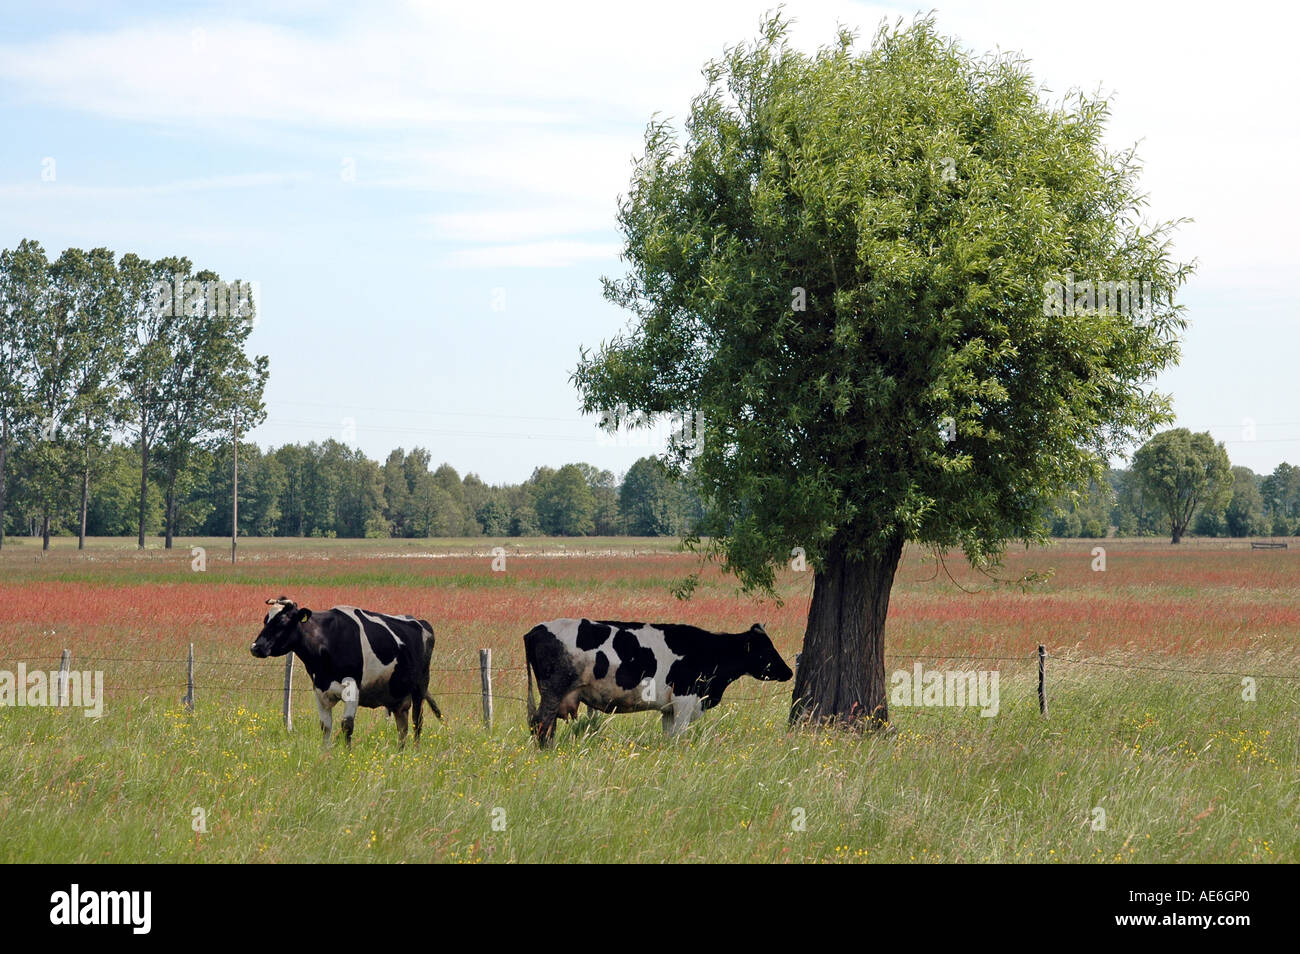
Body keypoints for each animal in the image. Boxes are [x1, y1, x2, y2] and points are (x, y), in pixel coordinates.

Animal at [250, 597, 442, 747]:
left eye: (282, 622)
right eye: (266, 620)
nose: (256, 647)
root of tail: (420, 622)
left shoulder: (352, 687)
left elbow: (347, 726)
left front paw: (346, 754)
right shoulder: (319, 689)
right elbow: (325, 726)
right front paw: (325, 753)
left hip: (420, 686)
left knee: (417, 721)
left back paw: (415, 751)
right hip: (397, 696)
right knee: (402, 727)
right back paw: (400, 753)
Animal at [524, 618, 792, 747]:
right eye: (767, 649)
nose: (789, 671)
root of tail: (536, 629)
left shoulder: (669, 708)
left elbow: (669, 736)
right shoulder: (685, 699)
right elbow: (681, 736)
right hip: (553, 691)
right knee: (542, 724)